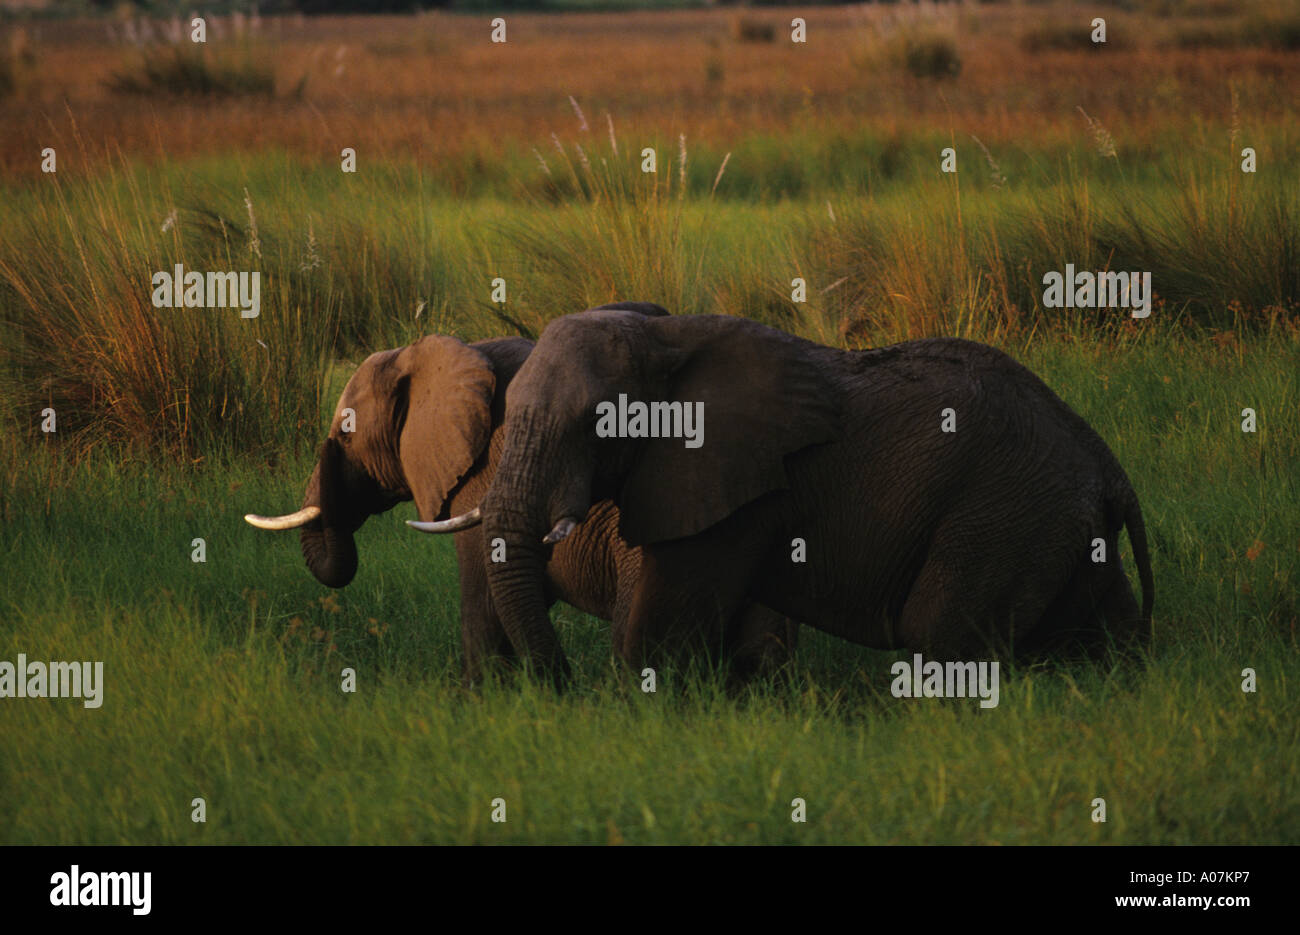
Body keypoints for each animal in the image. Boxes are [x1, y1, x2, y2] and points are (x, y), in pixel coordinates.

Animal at [426, 308, 1154, 682]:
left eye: (593, 424)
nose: (558, 690)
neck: (665, 335)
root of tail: (1109, 466)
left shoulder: (727, 480)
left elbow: (653, 630)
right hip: (1055, 524)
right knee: (1093, 627)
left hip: (1003, 515)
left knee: (941, 635)